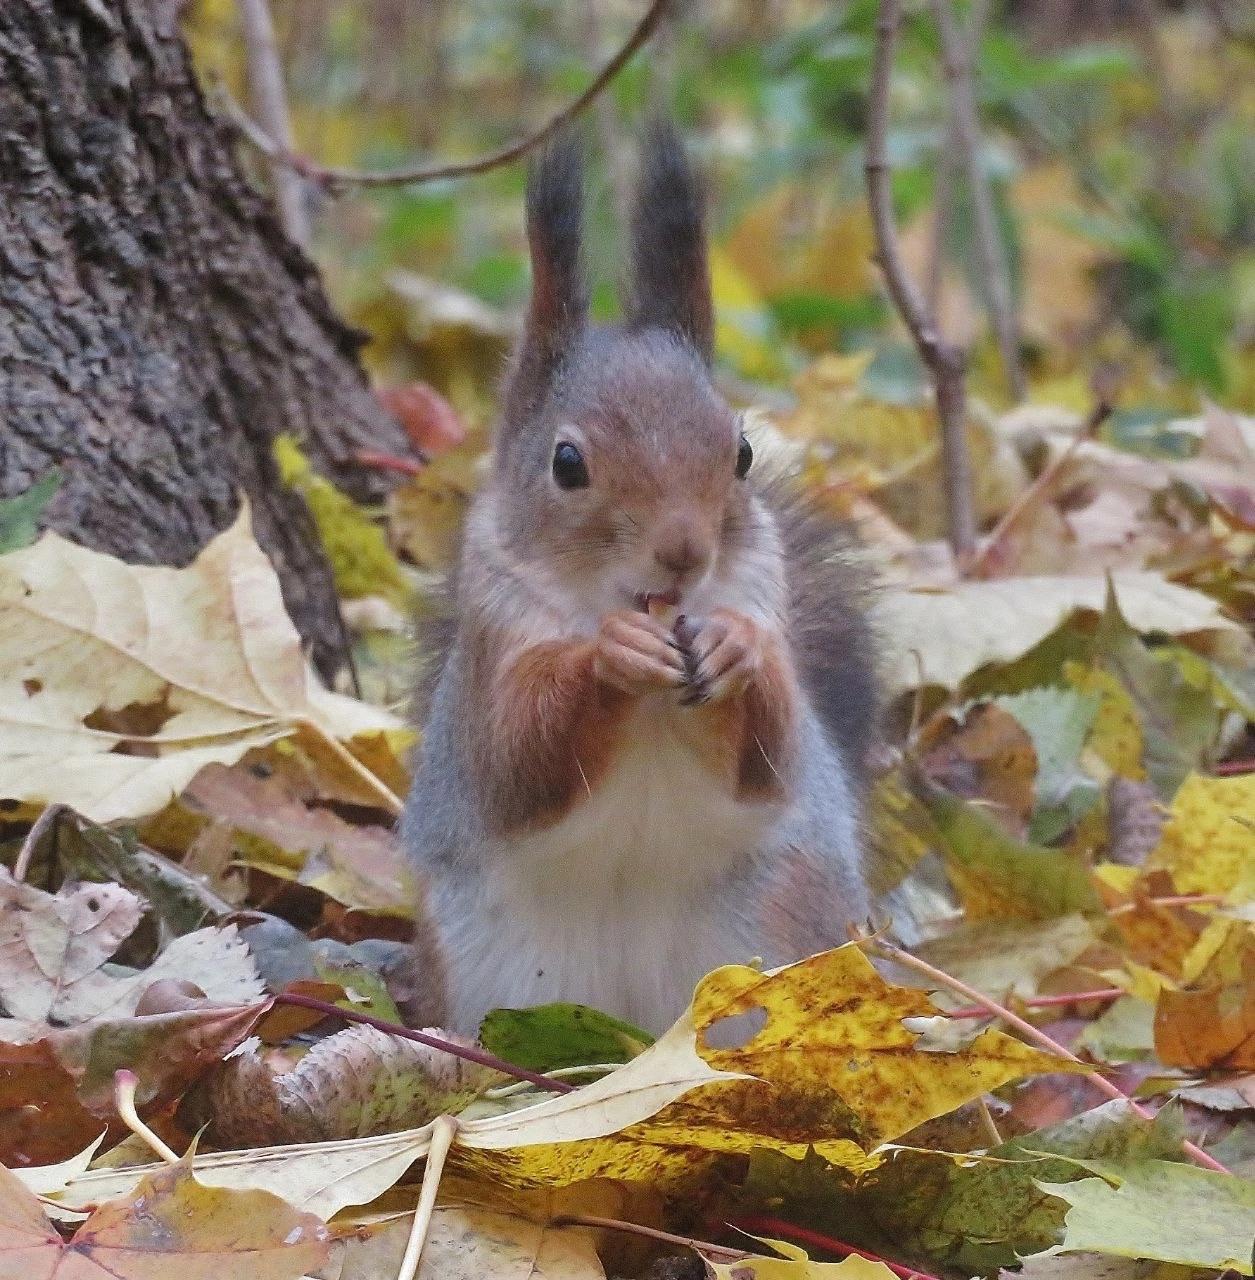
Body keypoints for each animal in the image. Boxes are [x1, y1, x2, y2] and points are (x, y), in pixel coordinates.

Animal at [407, 122, 875, 1039]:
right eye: (566, 463)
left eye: (742, 451)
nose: (684, 552)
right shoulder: (492, 649)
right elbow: (519, 756)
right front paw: (609, 658)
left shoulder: (763, 605)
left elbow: (772, 750)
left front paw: (736, 651)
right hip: (486, 965)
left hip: (783, 922)